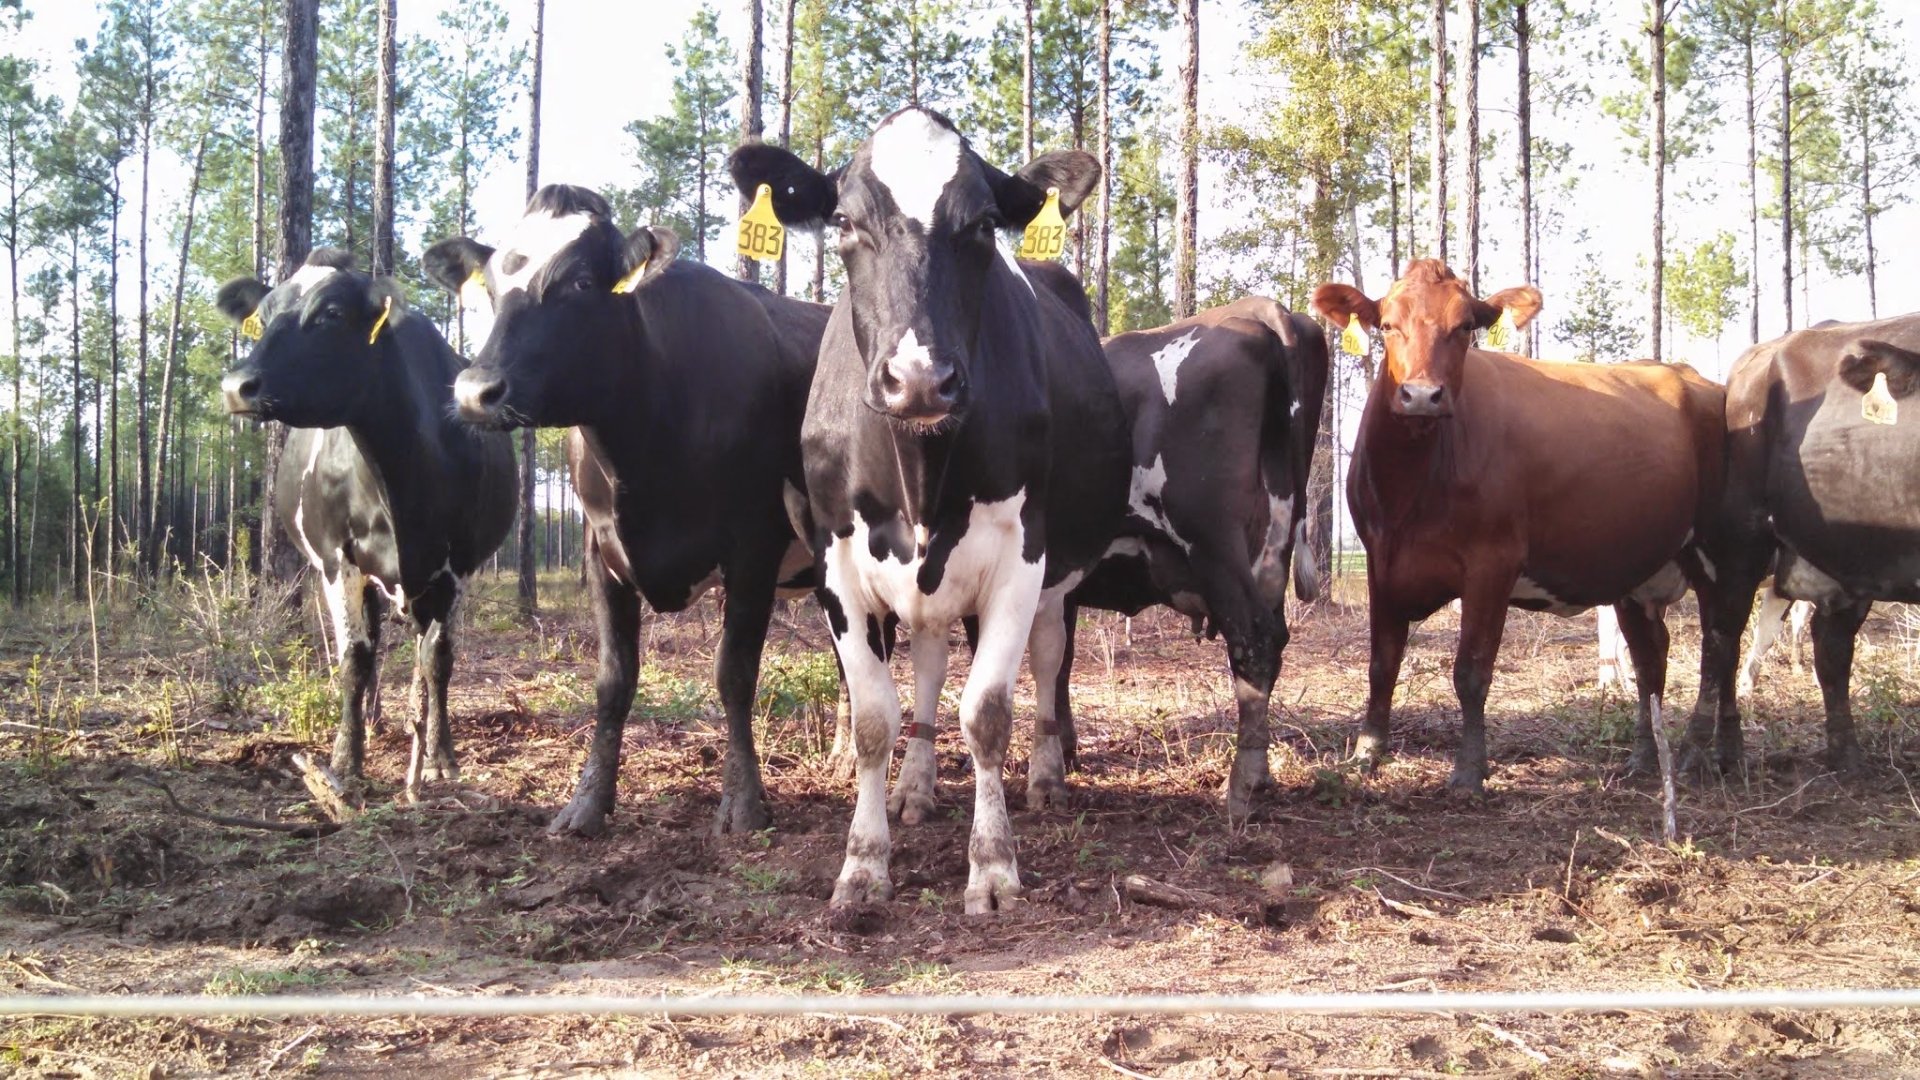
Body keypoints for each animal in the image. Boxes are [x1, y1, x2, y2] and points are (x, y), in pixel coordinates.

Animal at [216, 250, 517, 790]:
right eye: (264, 315)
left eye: (332, 312)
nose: (236, 386)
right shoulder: (338, 558)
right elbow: (354, 659)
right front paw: (345, 759)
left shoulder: (457, 563)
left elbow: (438, 658)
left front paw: (440, 756)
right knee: (373, 642)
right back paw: (371, 722)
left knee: (419, 648)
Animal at [422, 185, 829, 836]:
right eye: (490, 286)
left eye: (582, 282)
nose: (475, 392)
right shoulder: (600, 551)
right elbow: (613, 680)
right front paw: (587, 802)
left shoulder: (753, 548)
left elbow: (734, 674)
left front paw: (744, 804)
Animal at [730, 106, 1131, 913]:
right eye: (844, 222)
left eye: (981, 224)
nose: (919, 379)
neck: (919, 474)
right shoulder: (836, 560)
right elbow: (873, 719)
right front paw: (863, 863)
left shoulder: (1020, 554)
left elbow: (988, 713)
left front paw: (994, 866)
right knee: (929, 665)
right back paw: (915, 788)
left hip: (1056, 577)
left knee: (1047, 658)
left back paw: (1045, 776)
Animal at [1311, 260, 1731, 794]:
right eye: (1386, 325)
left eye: (1464, 327)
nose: (1422, 395)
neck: (1412, 488)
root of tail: (1692, 377)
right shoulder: (1380, 560)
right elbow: (1382, 664)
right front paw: (1366, 754)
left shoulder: (1492, 563)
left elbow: (1470, 671)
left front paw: (1469, 771)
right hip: (1636, 571)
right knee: (1650, 658)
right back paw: (1643, 759)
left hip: (1720, 552)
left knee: (1718, 647)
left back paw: (1700, 752)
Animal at [1681, 318, 1920, 776]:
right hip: (1741, 545)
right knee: (1722, 643)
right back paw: (1708, 749)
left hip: (1847, 561)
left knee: (1830, 648)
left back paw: (1845, 755)